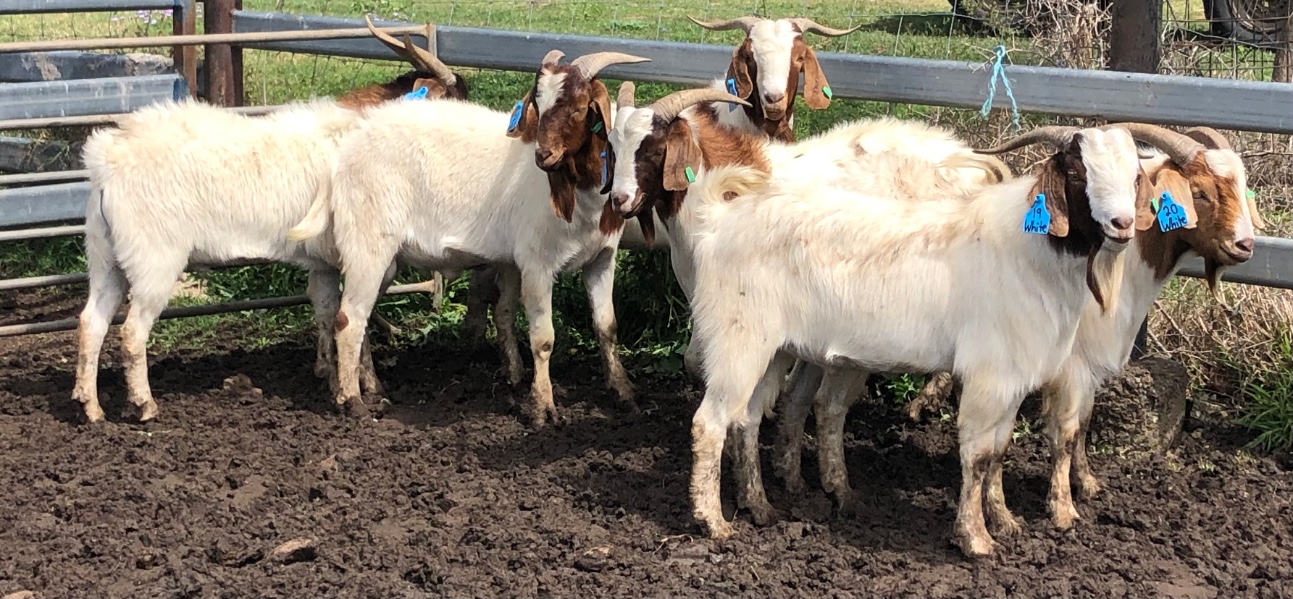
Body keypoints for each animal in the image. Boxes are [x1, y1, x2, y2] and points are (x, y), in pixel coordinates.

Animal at [71, 19, 465, 423]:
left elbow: (327, 313)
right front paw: (366, 387)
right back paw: (144, 405)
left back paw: (91, 407)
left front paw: (328, 375)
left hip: (106, 256)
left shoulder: (323, 261)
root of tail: (107, 160)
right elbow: (359, 318)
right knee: (133, 330)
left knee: (91, 322)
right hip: (154, 259)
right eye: (454, 98)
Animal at [286, 50, 648, 424]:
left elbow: (607, 327)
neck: (578, 193)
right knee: (349, 319)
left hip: (385, 259)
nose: (543, 156)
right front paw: (543, 407)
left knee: (361, 315)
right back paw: (352, 401)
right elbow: (543, 338)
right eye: (538, 102)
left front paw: (625, 394)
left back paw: (372, 387)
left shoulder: (602, 260)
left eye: (578, 107)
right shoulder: (537, 263)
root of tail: (347, 148)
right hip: (367, 243)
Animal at [666, 124, 1144, 558]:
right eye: (1078, 172)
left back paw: (760, 506)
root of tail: (718, 219)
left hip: (773, 350)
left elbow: (999, 451)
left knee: (746, 418)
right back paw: (714, 522)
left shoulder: (1015, 378)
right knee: (710, 422)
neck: (1027, 253)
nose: (1123, 224)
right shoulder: (989, 375)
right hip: (738, 340)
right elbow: (977, 455)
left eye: (1136, 175)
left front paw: (1006, 521)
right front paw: (975, 539)